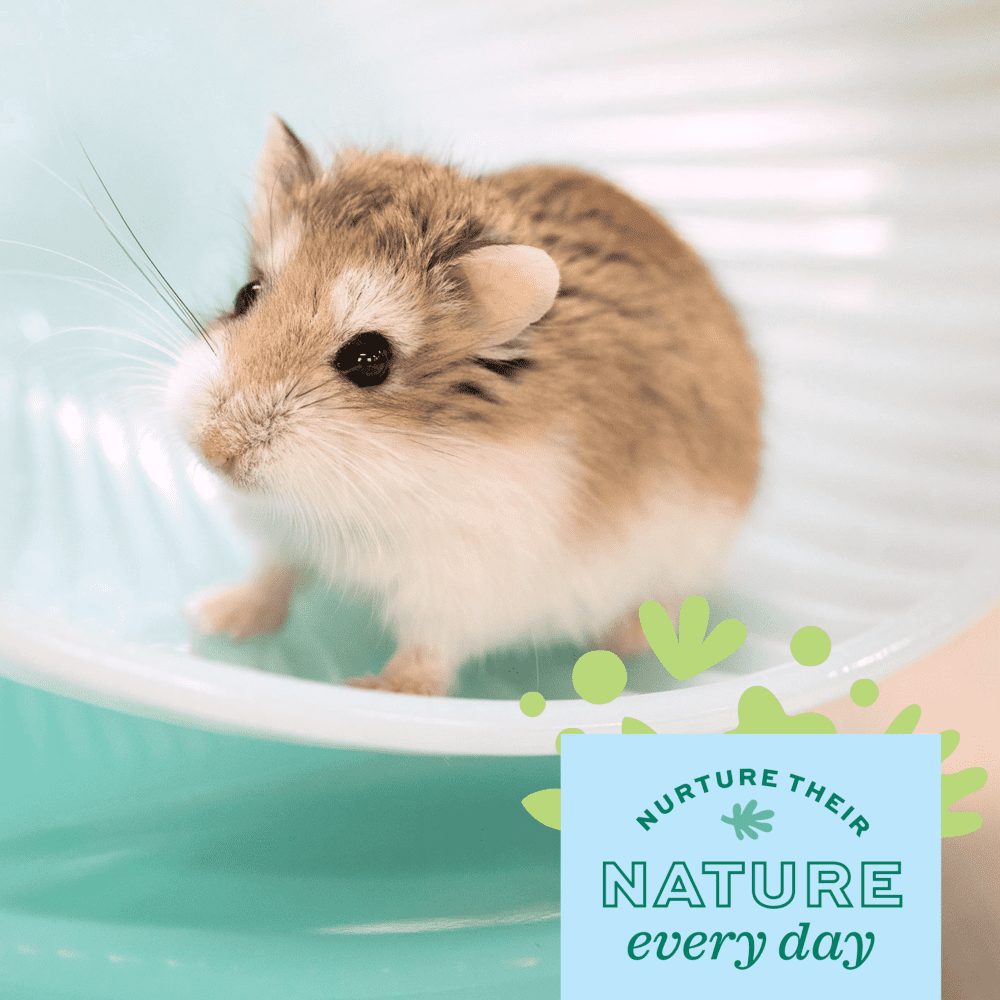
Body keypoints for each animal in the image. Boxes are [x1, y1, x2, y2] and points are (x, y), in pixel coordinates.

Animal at [169, 117, 761, 695]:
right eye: (246, 294)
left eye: (369, 359)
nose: (214, 450)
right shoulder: (281, 533)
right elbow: (272, 575)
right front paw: (211, 615)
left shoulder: (458, 586)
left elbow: (426, 654)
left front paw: (376, 690)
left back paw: (630, 641)